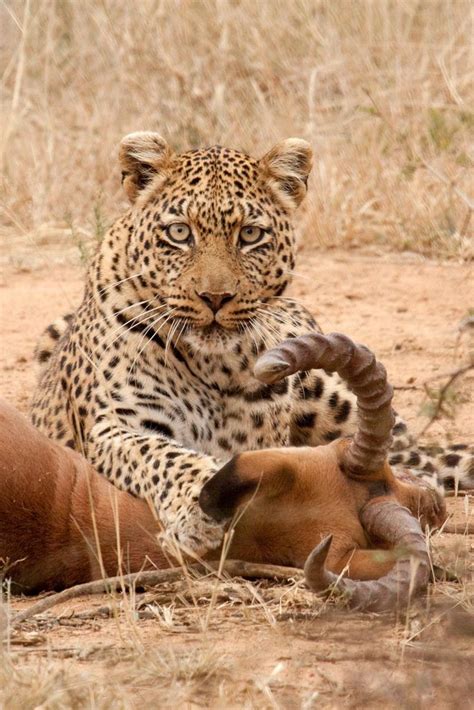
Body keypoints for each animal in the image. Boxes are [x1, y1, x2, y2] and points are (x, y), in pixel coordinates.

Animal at [31, 132, 473, 555]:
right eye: (179, 233)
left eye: (249, 235)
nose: (214, 297)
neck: (211, 363)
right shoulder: (115, 425)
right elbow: (161, 455)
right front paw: (197, 505)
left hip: (327, 394)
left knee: (403, 445)